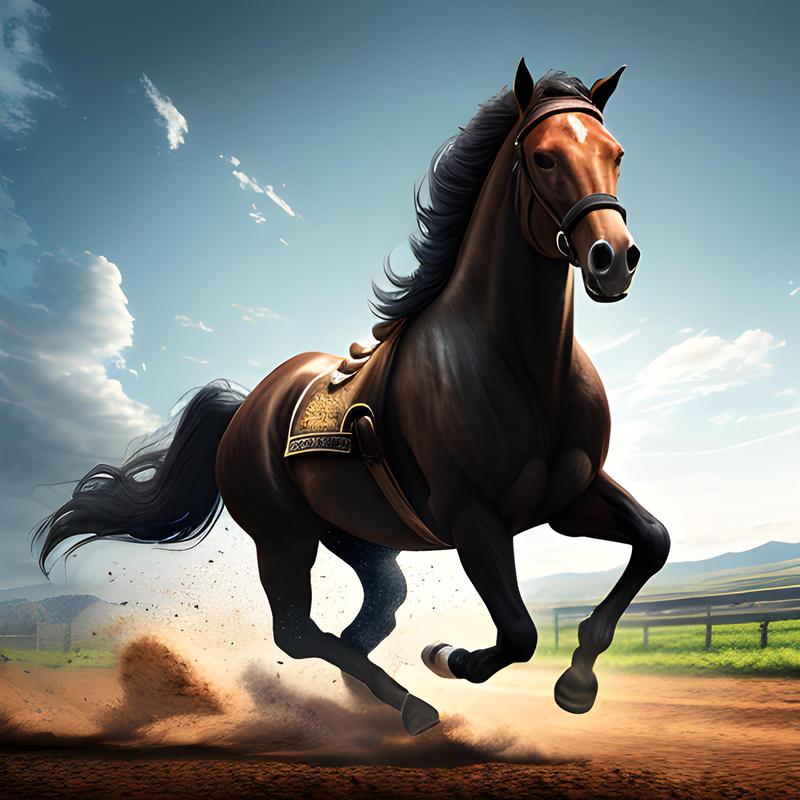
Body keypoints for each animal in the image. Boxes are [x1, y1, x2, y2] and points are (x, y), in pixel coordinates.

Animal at [35, 60, 670, 736]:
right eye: (544, 158)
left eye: (616, 153)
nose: (613, 259)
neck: (523, 368)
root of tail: (245, 411)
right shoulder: (474, 517)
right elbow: (519, 633)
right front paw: (447, 655)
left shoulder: (570, 497)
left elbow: (654, 541)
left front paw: (577, 685)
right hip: (283, 538)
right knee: (298, 633)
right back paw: (413, 705)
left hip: (356, 534)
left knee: (374, 613)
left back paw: (376, 700)